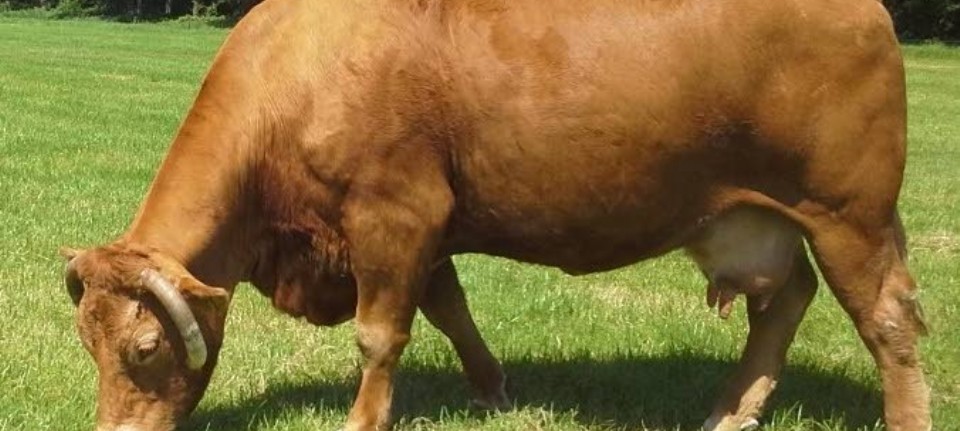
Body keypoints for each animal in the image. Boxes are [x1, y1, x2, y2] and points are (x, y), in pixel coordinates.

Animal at [60, 0, 931, 430]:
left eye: (144, 348)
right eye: (87, 345)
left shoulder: (395, 213)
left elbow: (380, 335)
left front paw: (364, 419)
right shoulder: (427, 227)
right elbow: (450, 307)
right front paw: (493, 390)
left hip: (848, 213)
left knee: (888, 321)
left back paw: (901, 418)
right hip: (765, 219)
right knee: (785, 301)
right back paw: (732, 409)